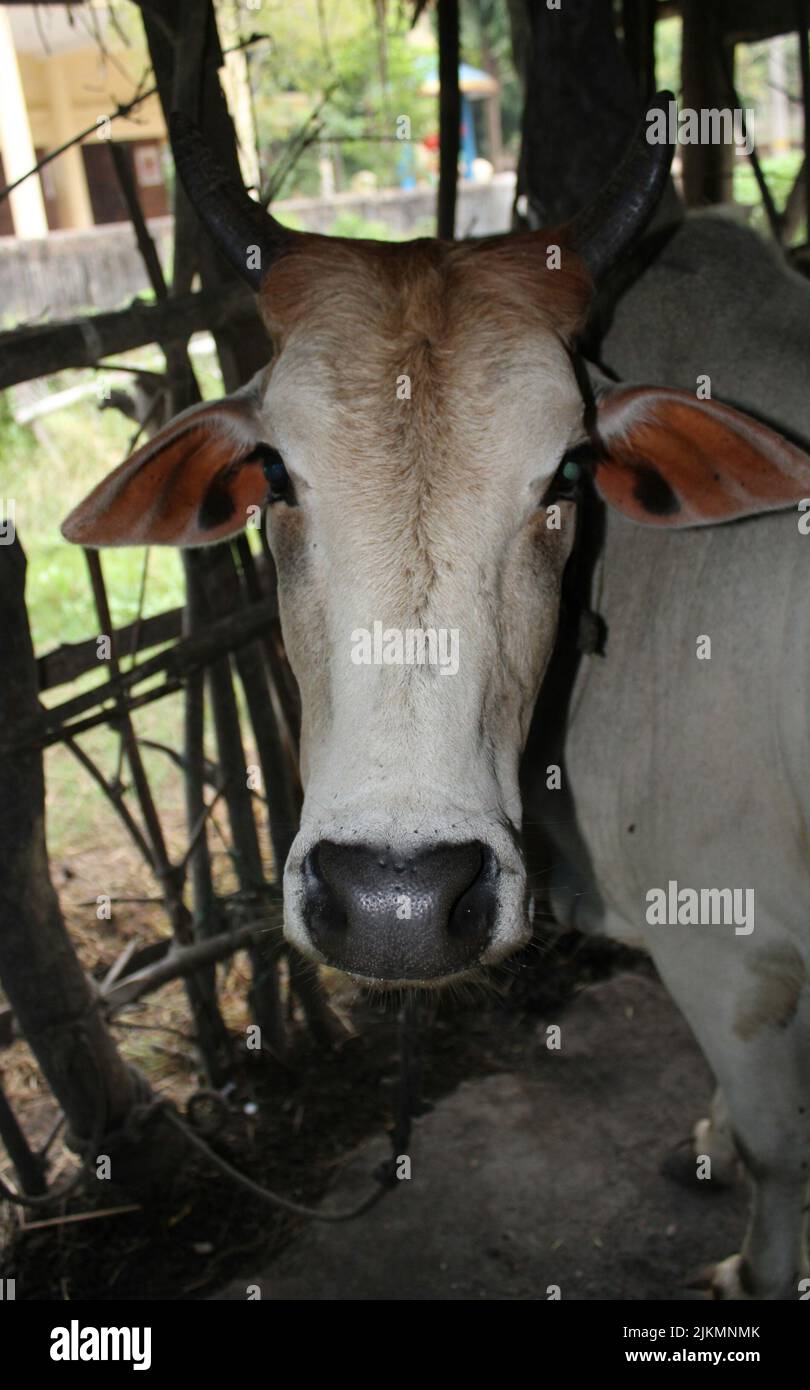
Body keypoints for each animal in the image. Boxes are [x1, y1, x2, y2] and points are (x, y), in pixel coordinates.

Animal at [62, 96, 810, 1300]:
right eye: (273, 472)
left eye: (568, 475)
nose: (396, 904)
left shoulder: (733, 948)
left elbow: (777, 1146)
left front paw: (756, 1262)